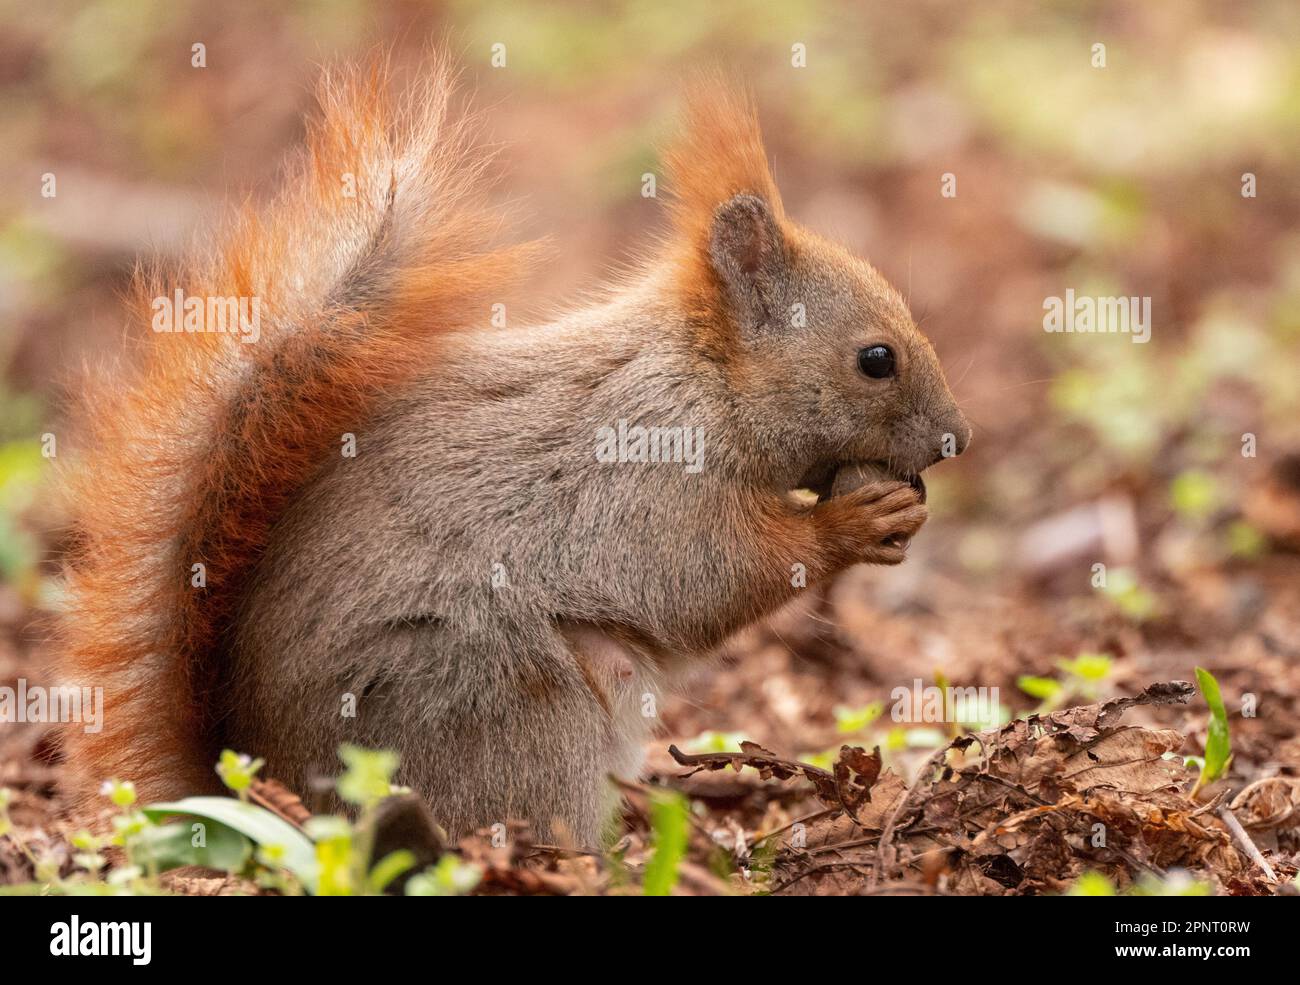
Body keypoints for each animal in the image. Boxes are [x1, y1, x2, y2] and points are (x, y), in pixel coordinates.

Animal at [53, 54, 969, 845]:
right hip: (500, 701)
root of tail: (271, 791)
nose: (957, 436)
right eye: (875, 359)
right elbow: (706, 577)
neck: (705, 380)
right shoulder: (643, 478)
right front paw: (853, 524)